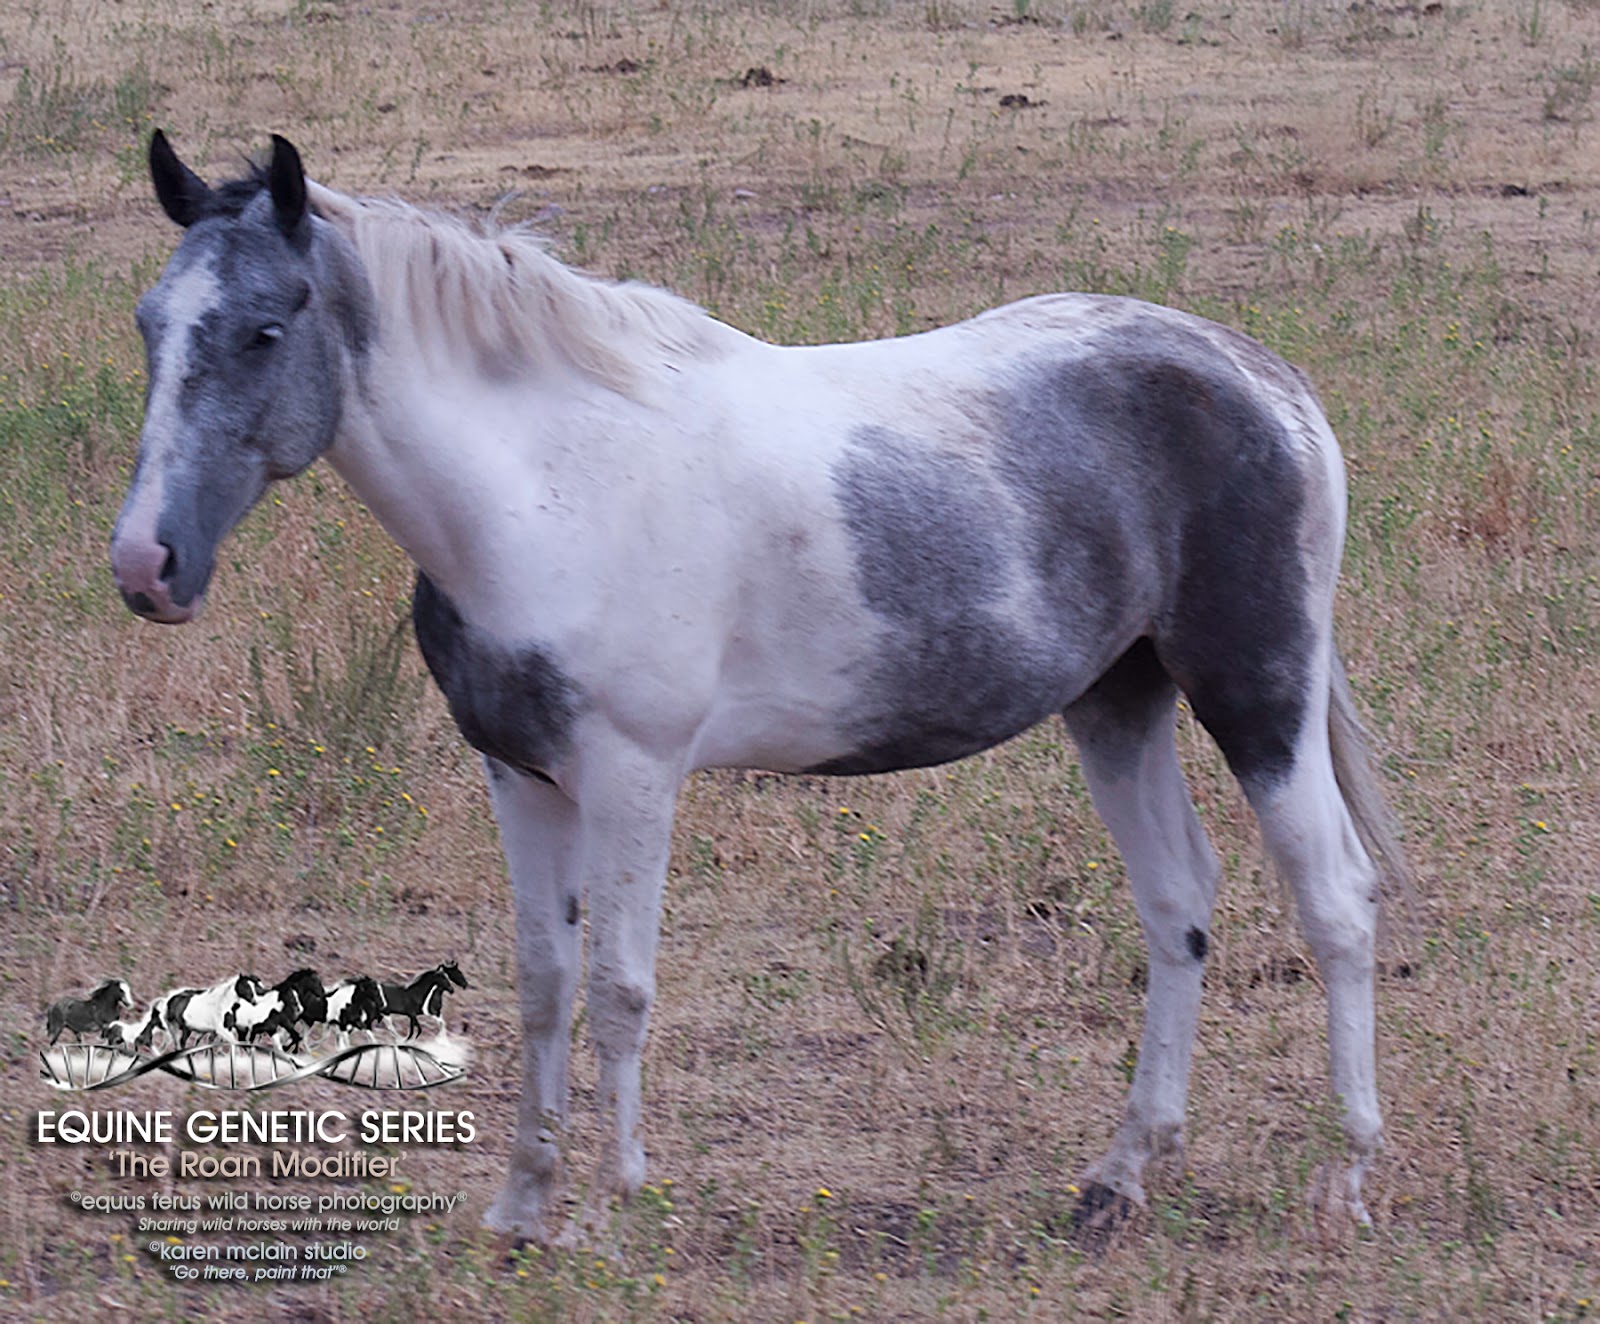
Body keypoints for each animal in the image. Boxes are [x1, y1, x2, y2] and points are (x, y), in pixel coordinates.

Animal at [111, 131, 1408, 1241]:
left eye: (265, 329)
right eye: (150, 325)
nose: (145, 565)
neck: (548, 485)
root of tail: (1266, 382)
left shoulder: (633, 772)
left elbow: (620, 987)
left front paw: (613, 1206)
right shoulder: (519, 775)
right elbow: (543, 982)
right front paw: (521, 1209)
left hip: (1257, 694)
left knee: (1335, 903)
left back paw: (1346, 1175)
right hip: (1117, 703)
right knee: (1177, 905)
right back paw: (1120, 1177)